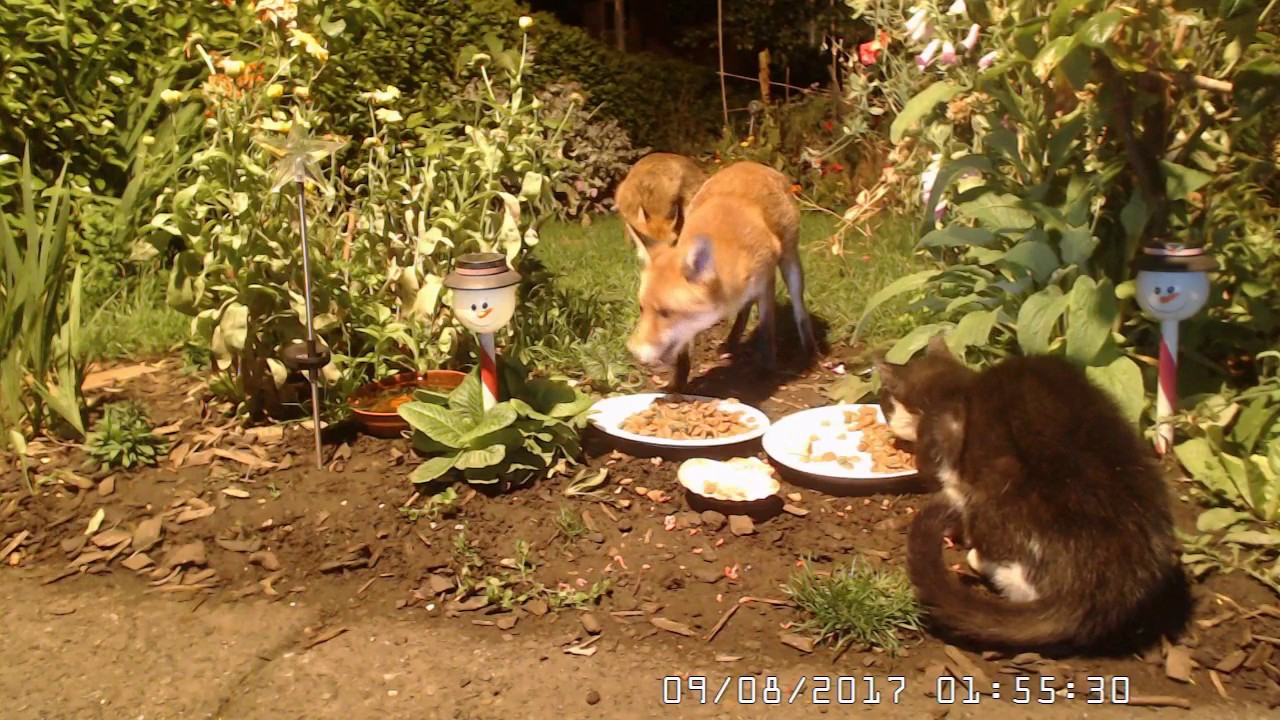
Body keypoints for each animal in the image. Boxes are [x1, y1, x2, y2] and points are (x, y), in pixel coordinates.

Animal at [626, 161, 818, 391]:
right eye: (641, 308)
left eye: (666, 312)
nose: (633, 351)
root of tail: (753, 164)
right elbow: (683, 349)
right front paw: (678, 383)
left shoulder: (766, 281)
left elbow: (766, 331)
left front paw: (766, 371)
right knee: (745, 308)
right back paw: (732, 341)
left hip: (790, 264)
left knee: (799, 310)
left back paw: (809, 353)